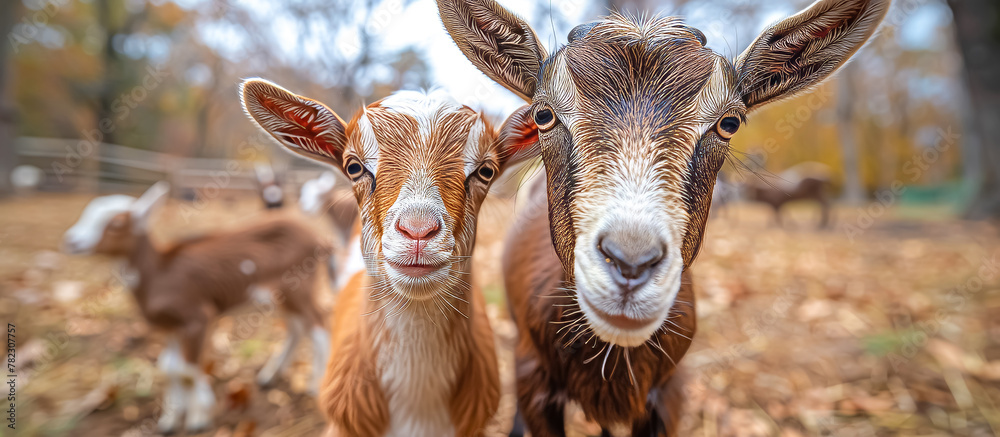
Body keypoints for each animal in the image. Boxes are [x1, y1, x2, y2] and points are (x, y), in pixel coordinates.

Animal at [62, 181, 331, 433]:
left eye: (116, 223)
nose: (71, 240)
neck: (158, 273)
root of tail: (318, 237)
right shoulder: (168, 326)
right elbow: (169, 366)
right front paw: (169, 421)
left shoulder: (197, 318)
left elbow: (188, 367)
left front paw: (198, 417)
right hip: (282, 294)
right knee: (297, 327)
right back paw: (270, 376)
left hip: (300, 284)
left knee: (319, 326)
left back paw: (316, 386)